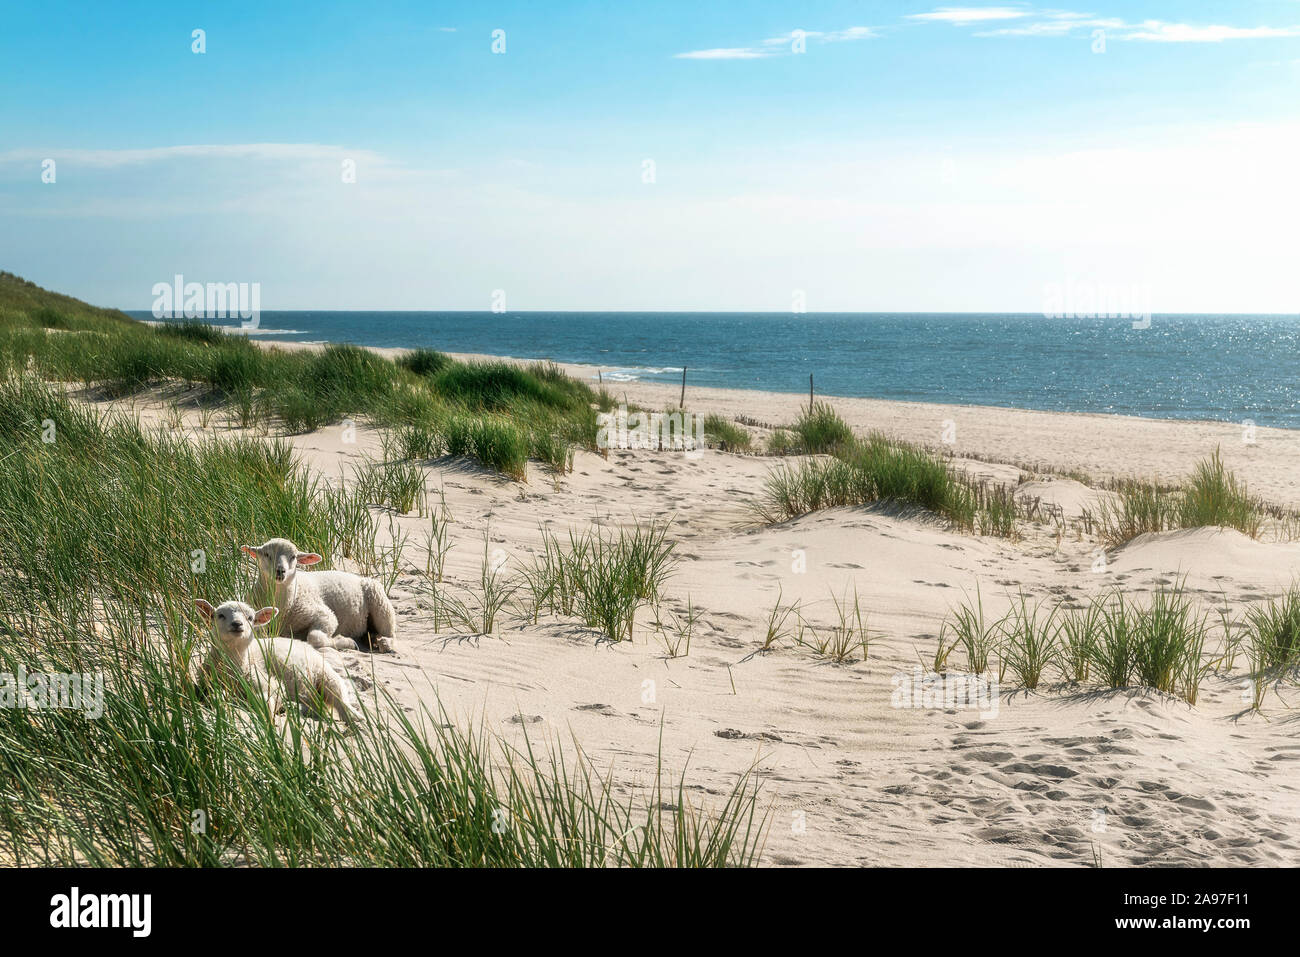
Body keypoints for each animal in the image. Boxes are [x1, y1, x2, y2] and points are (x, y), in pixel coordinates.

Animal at [194, 598, 360, 726]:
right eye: (220, 615)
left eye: (250, 618)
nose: (237, 624)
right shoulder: (207, 683)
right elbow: (214, 696)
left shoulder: (267, 681)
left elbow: (265, 701)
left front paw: (268, 717)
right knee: (315, 705)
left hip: (326, 674)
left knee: (339, 699)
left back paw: (355, 719)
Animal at [242, 538, 397, 653]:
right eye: (267, 554)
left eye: (293, 557)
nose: (280, 571)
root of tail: (359, 577)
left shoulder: (325, 615)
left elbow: (314, 637)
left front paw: (346, 641)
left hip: (380, 602)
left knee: (390, 633)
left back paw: (385, 643)